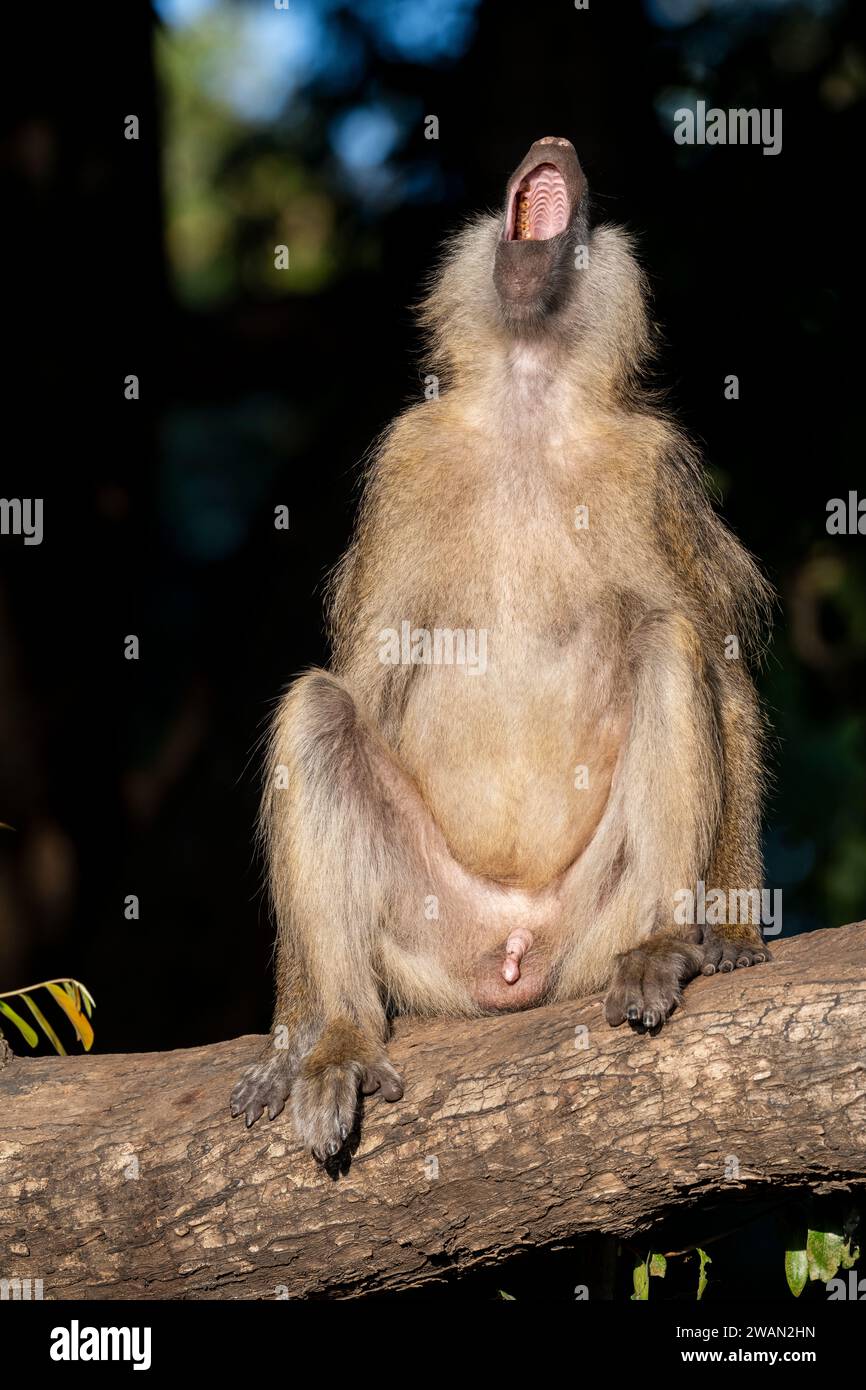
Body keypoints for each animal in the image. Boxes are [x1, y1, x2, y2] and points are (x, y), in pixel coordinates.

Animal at [231, 136, 774, 1165]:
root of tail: (513, 954)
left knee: (666, 643)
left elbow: (717, 666)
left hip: (587, 931)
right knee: (319, 711)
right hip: (429, 940)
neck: (530, 389)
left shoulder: (652, 471)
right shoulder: (405, 463)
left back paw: (661, 946)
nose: (556, 143)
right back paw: (341, 1039)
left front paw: (732, 932)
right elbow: (363, 686)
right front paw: (290, 1040)